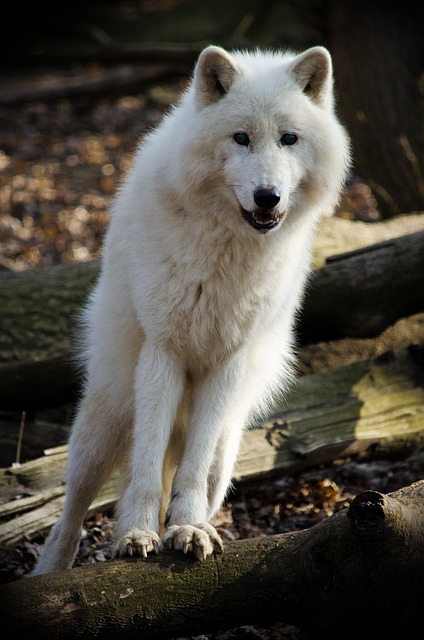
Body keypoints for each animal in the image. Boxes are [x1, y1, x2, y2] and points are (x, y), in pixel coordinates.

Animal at [32, 44, 350, 575]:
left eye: (289, 139)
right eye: (241, 138)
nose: (268, 197)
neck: (227, 251)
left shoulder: (226, 364)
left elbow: (191, 474)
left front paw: (186, 531)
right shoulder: (163, 352)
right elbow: (143, 469)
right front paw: (136, 536)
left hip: (228, 453)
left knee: (199, 473)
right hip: (102, 427)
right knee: (68, 516)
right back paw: (49, 574)